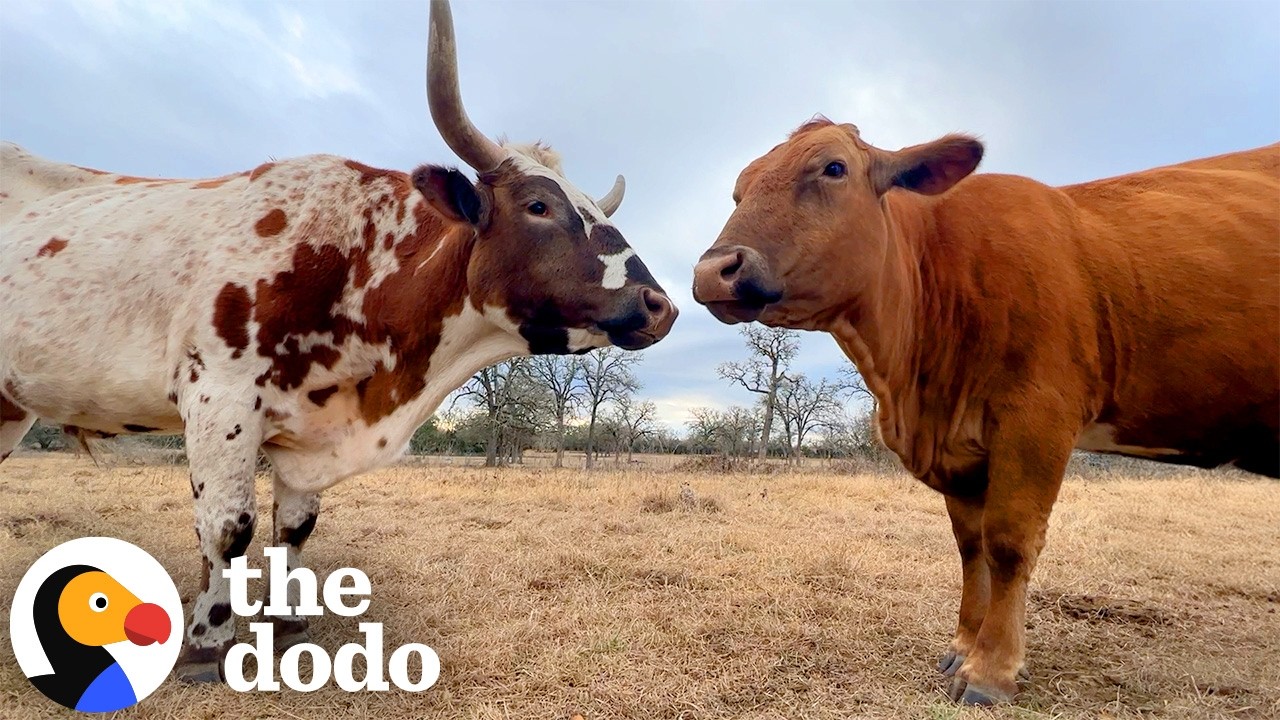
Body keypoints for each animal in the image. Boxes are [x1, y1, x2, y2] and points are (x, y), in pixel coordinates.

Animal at [0, 0, 676, 683]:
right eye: (538, 205)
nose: (661, 306)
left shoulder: (308, 422)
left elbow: (294, 528)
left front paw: (287, 624)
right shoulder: (218, 399)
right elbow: (229, 528)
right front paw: (207, 644)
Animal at [692, 117, 1278, 705]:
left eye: (834, 167)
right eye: (740, 189)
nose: (713, 271)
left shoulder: (1038, 417)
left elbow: (1008, 544)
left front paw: (991, 670)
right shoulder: (961, 452)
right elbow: (971, 547)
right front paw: (963, 647)